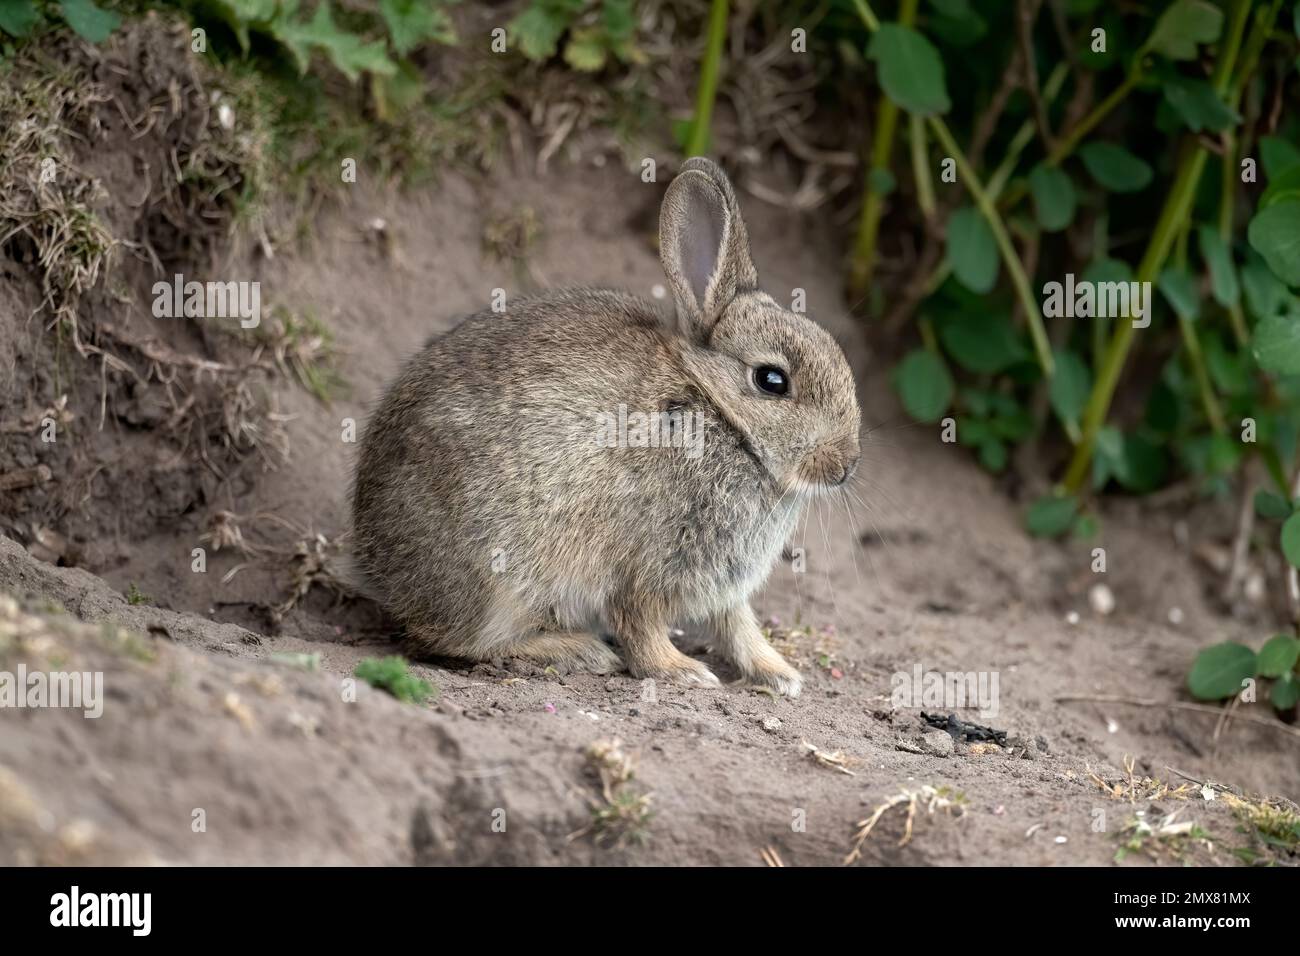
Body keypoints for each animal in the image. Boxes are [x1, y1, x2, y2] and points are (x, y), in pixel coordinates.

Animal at [350, 158, 861, 696]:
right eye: (771, 380)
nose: (845, 466)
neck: (720, 413)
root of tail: (373, 559)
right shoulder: (645, 566)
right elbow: (641, 623)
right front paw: (680, 671)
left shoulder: (723, 584)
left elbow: (738, 626)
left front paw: (779, 673)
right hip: (496, 582)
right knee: (458, 641)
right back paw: (579, 650)